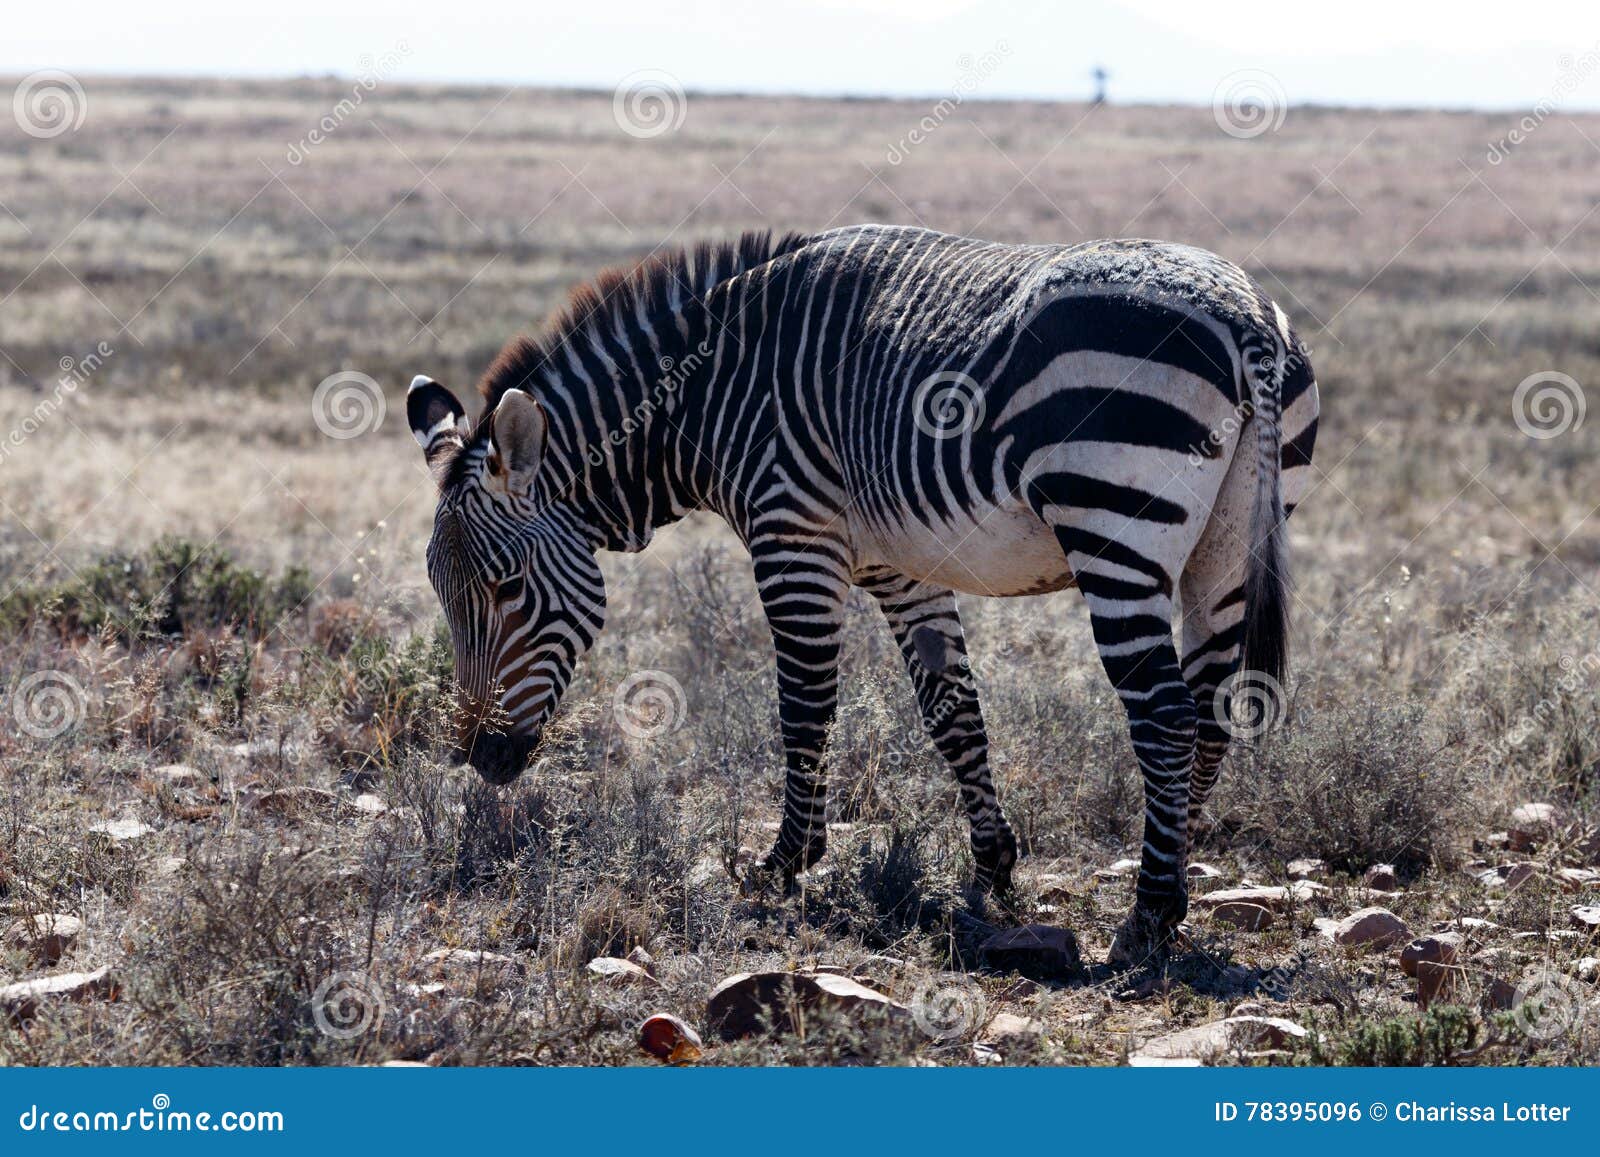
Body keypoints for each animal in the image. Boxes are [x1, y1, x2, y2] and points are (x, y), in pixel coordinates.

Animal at [404, 225, 1320, 968]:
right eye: (444, 596)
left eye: (507, 588)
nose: (483, 758)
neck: (708, 392)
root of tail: (1241, 314)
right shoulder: (903, 568)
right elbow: (954, 713)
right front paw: (993, 864)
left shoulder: (793, 537)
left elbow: (804, 706)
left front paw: (784, 862)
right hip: (1226, 546)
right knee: (1209, 711)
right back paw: (1175, 874)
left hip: (1114, 525)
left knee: (1165, 713)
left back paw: (1150, 914)